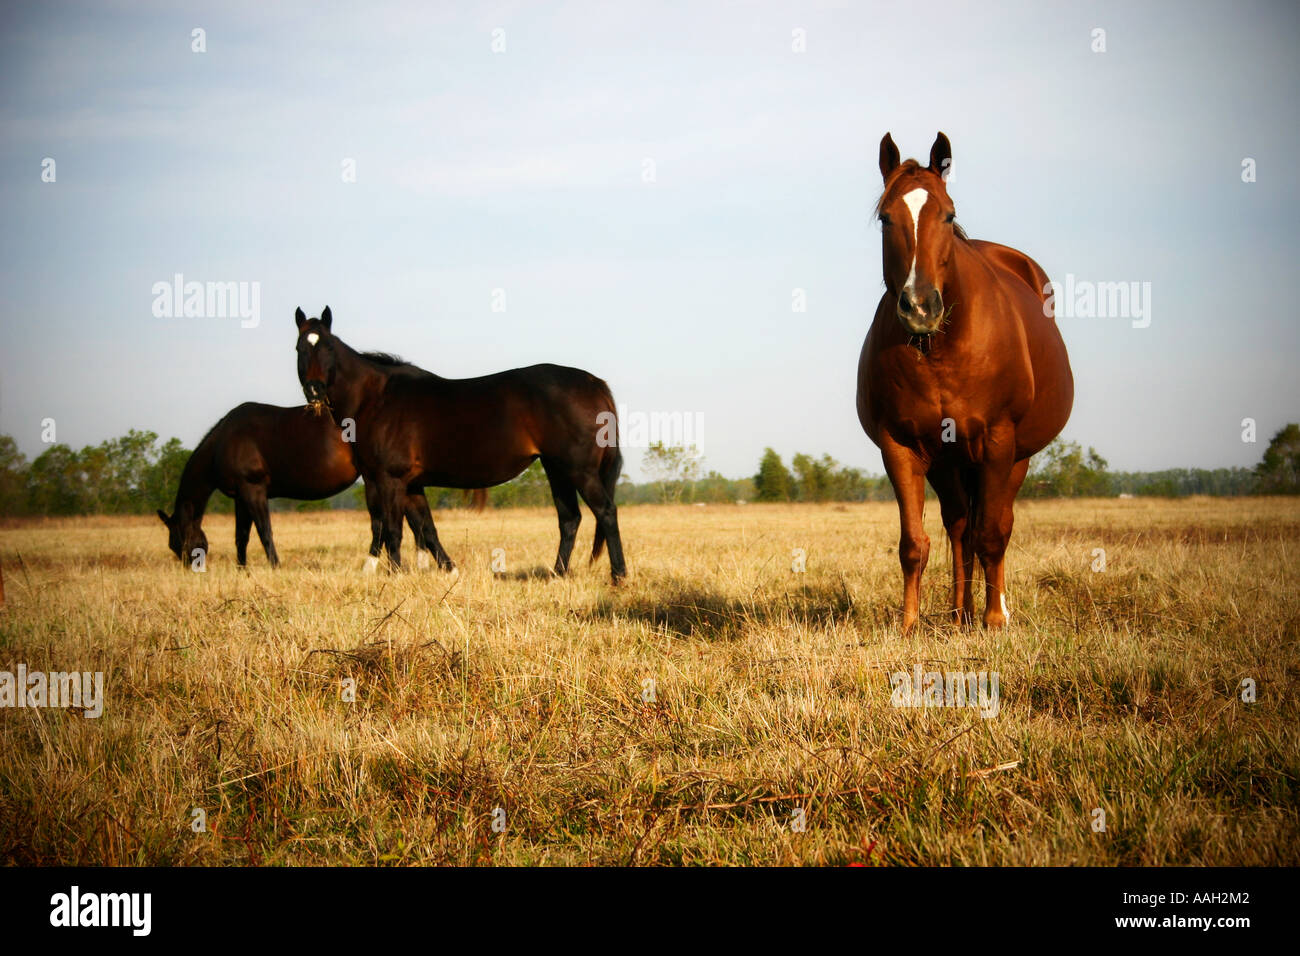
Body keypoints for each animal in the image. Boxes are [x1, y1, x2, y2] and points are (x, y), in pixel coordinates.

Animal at [156, 401, 466, 569]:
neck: (224, 441)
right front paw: (242, 570)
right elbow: (241, 536)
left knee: (387, 524)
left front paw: (275, 566)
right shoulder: (240, 495)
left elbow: (264, 531)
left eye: (178, 542)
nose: (191, 568)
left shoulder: (253, 489)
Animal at [293, 306, 627, 582]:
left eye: (328, 347)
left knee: (606, 512)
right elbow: (426, 528)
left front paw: (395, 575)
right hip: (556, 469)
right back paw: (556, 575)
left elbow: (392, 529)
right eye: (299, 348)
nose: (314, 390)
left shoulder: (390, 479)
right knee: (570, 519)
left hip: (579, 470)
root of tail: (595, 384)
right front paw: (450, 570)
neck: (377, 398)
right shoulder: (411, 484)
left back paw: (618, 575)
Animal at [857, 132, 1073, 631]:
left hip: (1014, 458)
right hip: (947, 461)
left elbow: (992, 534)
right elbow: (914, 544)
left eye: (948, 214)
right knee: (959, 527)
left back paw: (992, 610)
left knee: (994, 526)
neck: (940, 348)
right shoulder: (900, 446)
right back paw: (960, 612)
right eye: (885, 217)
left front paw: (995, 621)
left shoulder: (998, 440)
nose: (920, 307)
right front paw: (909, 625)